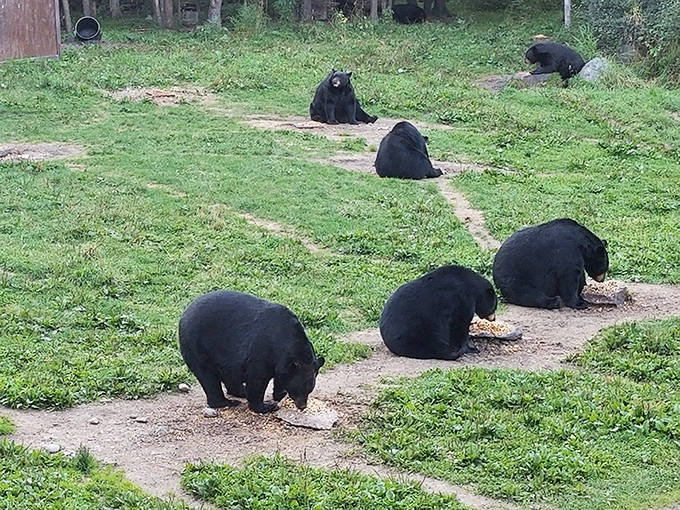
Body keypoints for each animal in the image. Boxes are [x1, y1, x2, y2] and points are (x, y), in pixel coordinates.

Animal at [178, 290, 325, 413]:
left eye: (310, 390)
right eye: (299, 390)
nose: (302, 406)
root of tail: (184, 314)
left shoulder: (281, 361)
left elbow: (280, 376)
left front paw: (279, 394)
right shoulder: (261, 350)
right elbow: (257, 378)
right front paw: (266, 406)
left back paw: (241, 391)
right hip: (198, 346)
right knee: (208, 376)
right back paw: (228, 401)